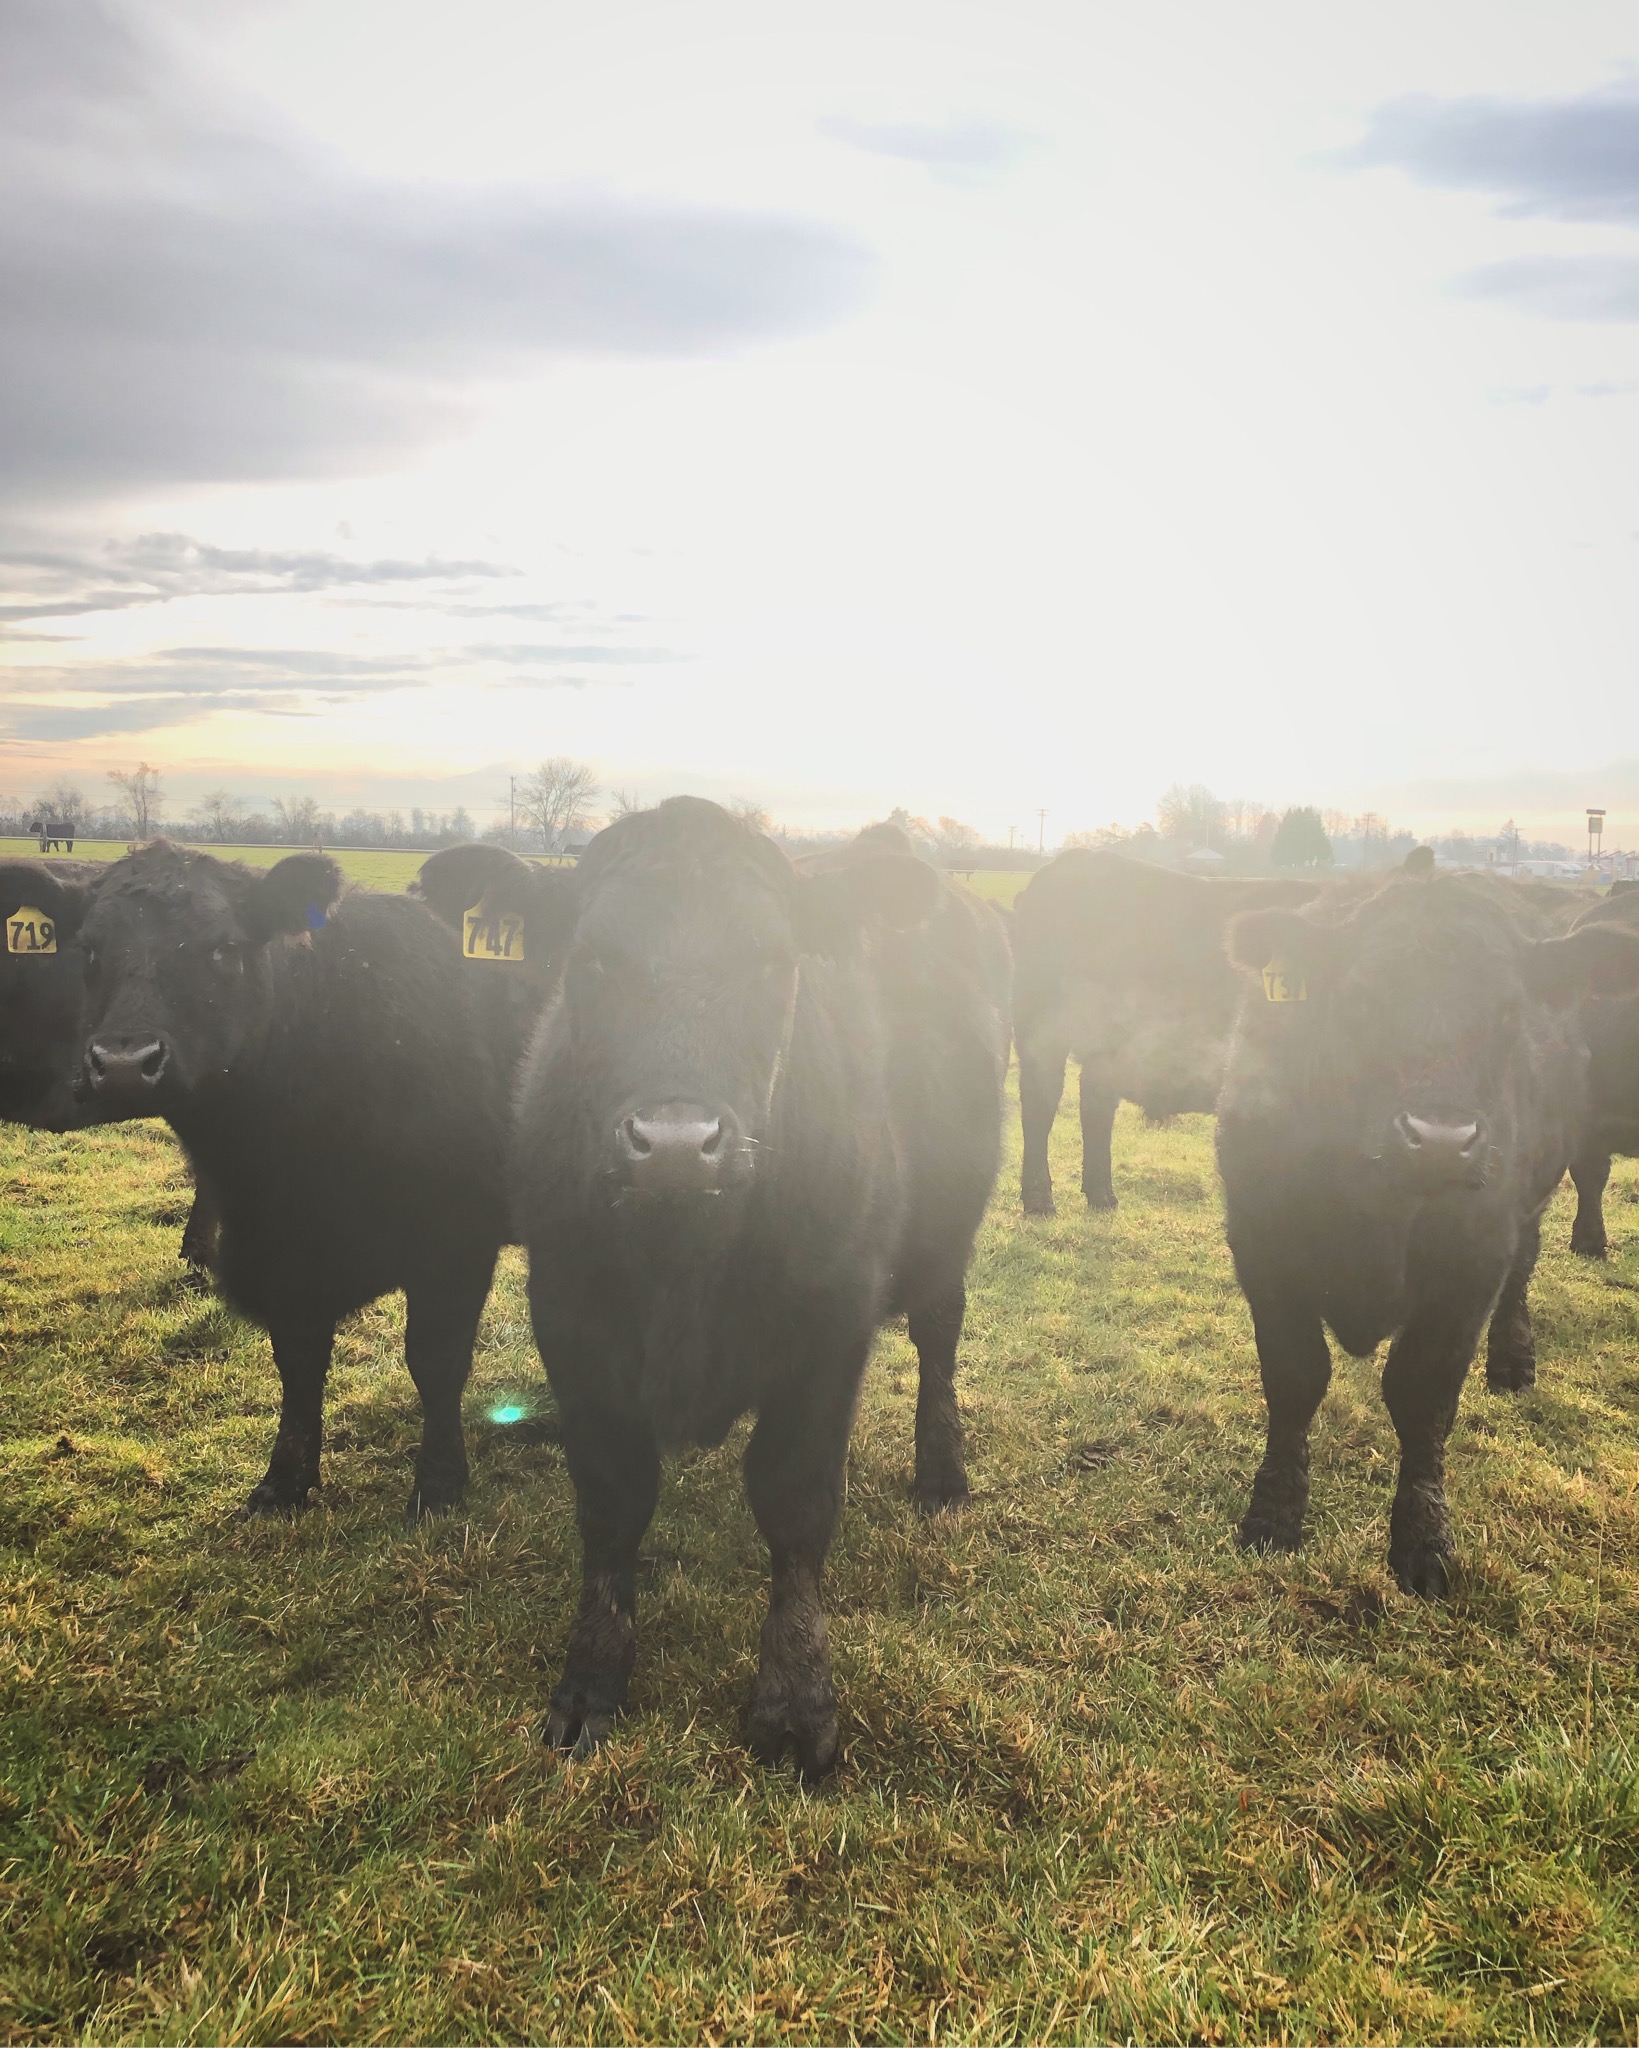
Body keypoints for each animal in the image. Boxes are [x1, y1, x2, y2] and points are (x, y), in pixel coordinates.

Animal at [73, 841, 517, 1519]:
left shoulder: (456, 1237)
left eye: (225, 947)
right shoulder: (277, 1253)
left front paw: (439, 1484)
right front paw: (283, 1480)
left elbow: (435, 1359)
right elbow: (298, 1362)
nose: (124, 1063)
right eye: (91, 952)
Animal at [508, 798, 1011, 1777]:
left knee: (939, 1334)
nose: (673, 1145)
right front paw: (590, 1678)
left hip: (947, 1234)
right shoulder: (569, 1320)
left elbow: (796, 1498)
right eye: (592, 958)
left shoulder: (832, 1324)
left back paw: (941, 1472)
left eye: (774, 961)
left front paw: (795, 1696)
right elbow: (610, 1504)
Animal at [1216, 849, 1639, 1596]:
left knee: (1526, 1265)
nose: (1441, 1141)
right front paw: (1272, 1516)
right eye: (1360, 1001)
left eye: (1509, 1014)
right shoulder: (1262, 1245)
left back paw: (1513, 1360)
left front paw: (1422, 1540)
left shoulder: (1469, 1268)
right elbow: (1294, 1377)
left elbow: (1422, 1395)